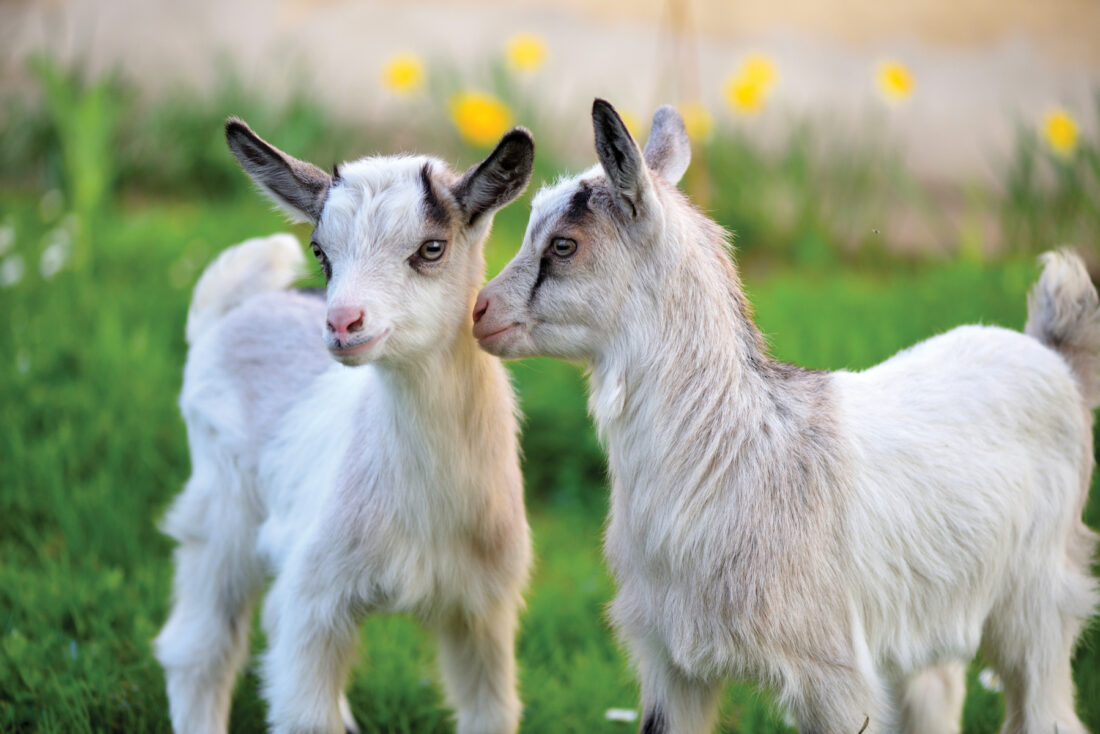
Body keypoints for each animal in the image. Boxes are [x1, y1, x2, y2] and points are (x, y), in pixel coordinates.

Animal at [154, 119, 535, 734]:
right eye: (321, 251)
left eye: (432, 247)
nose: (341, 323)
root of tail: (233, 307)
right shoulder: (312, 601)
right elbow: (303, 711)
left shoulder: (483, 611)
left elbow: (492, 712)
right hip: (222, 506)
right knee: (199, 647)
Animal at [473, 99, 1100, 734]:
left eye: (564, 245)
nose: (480, 311)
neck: (732, 454)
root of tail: (1053, 354)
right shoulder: (668, 659)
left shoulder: (835, 673)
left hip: (1040, 598)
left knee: (1048, 709)